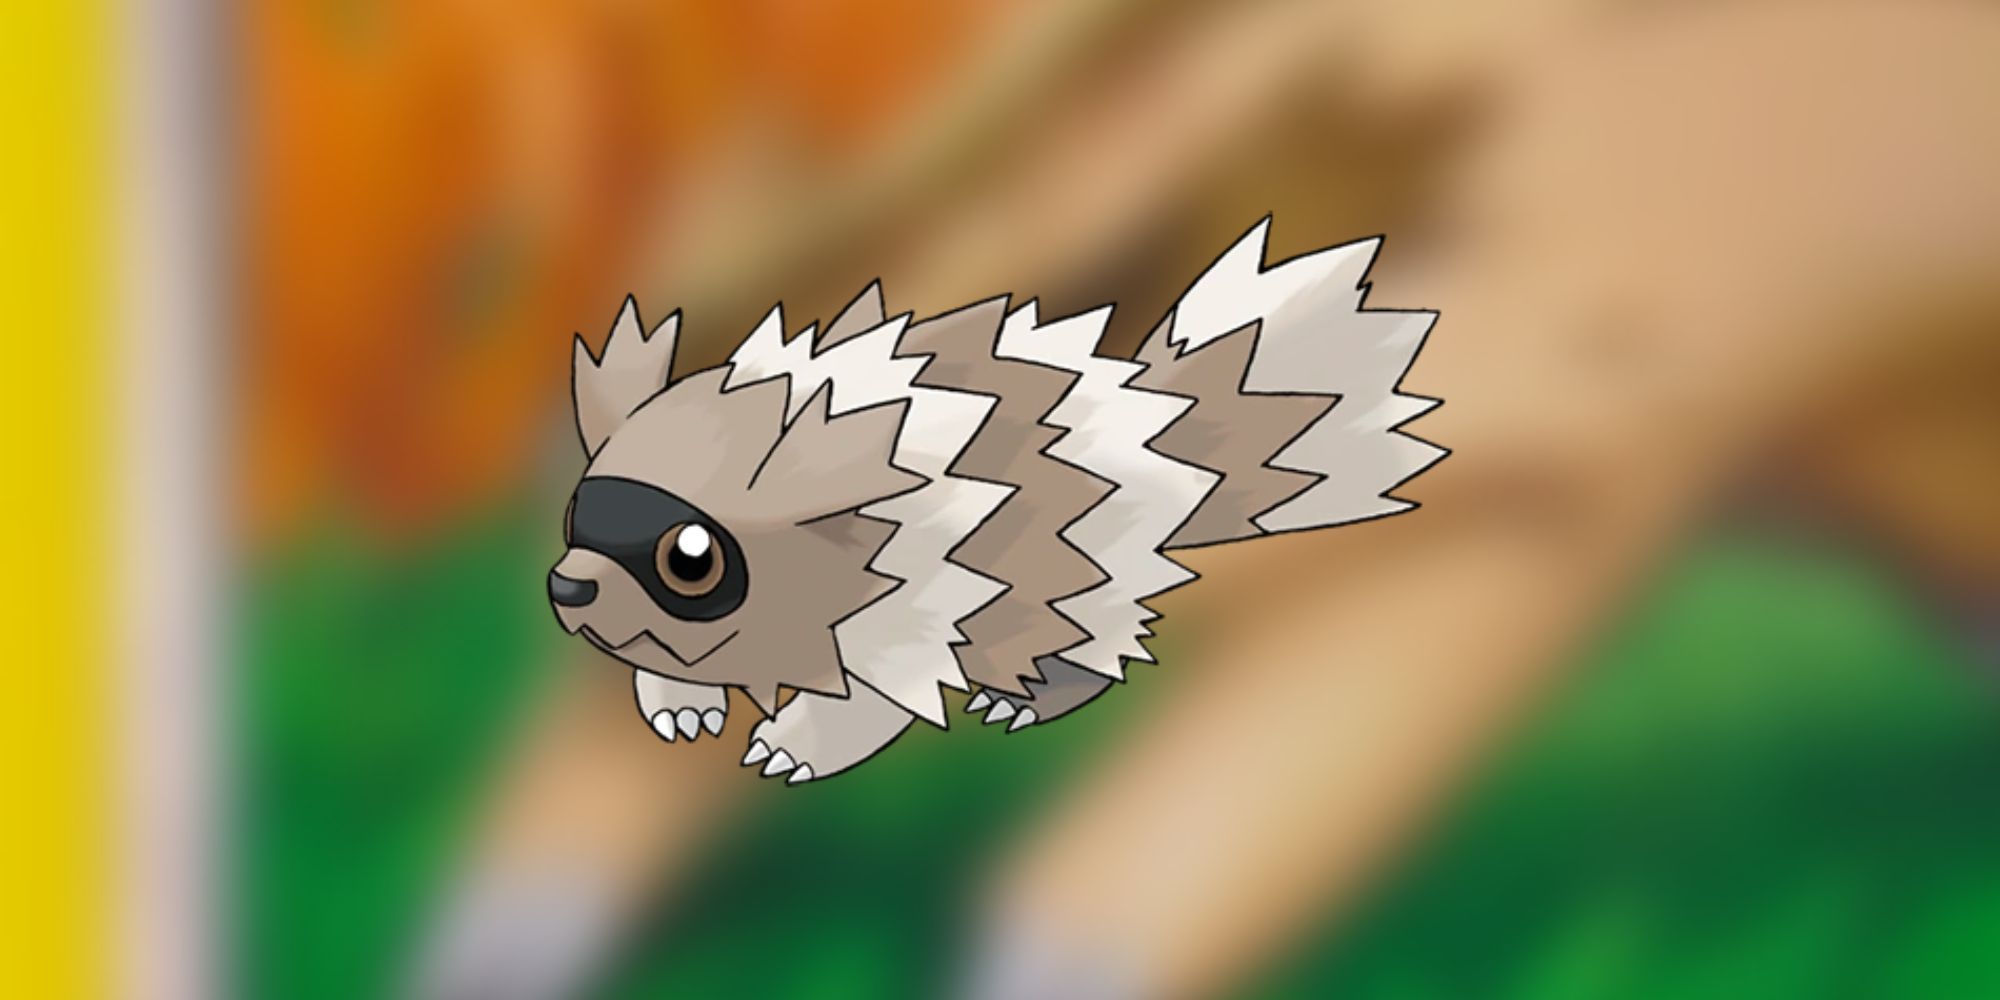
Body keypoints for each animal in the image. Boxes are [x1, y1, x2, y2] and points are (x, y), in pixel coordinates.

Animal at [548, 219, 1443, 784]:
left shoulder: (919, 611)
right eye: (578, 518)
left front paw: (792, 746)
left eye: (690, 560)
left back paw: (1027, 699)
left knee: (1092, 637)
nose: (566, 587)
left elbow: (872, 701)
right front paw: (679, 700)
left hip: (1088, 574)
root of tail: (1169, 427)